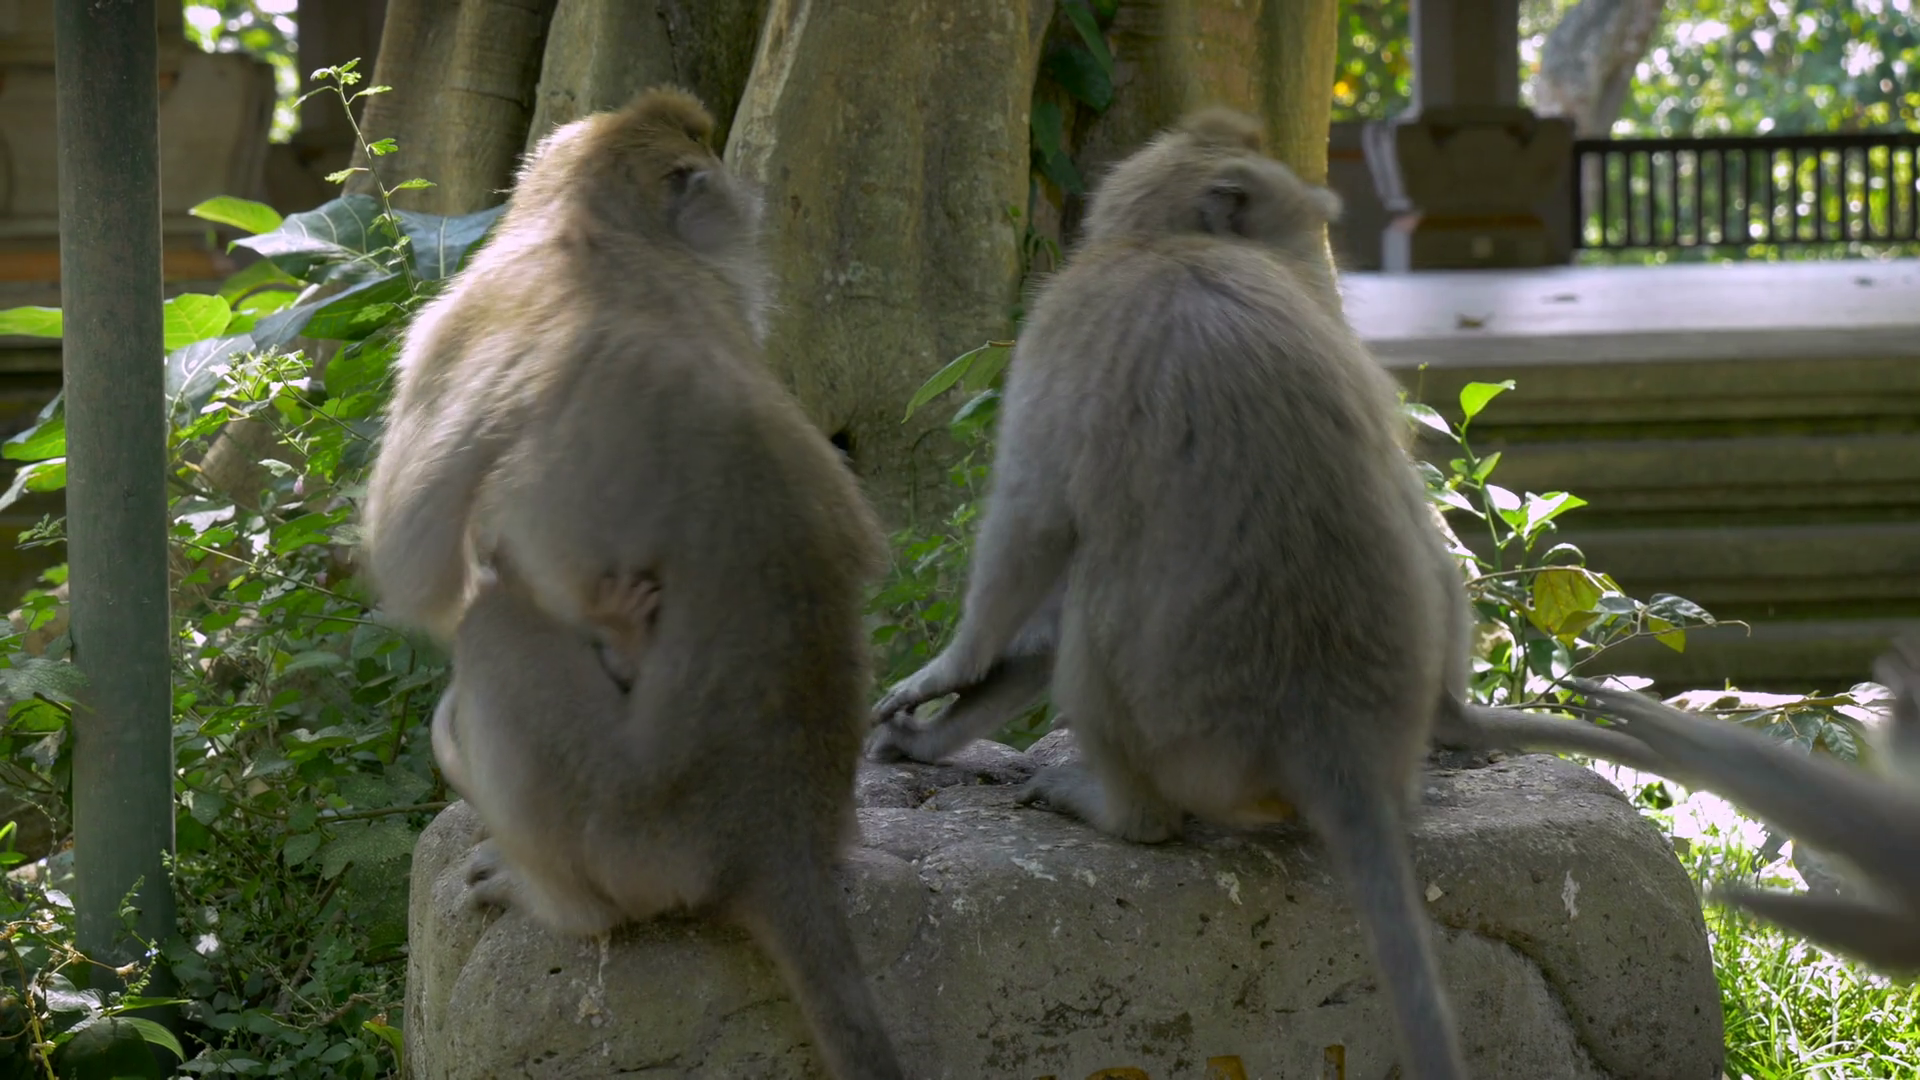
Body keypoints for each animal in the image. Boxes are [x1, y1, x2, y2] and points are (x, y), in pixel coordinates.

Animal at [362, 88, 903, 1080]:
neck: (595, 225)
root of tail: (776, 833)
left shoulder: (449, 322)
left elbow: (412, 559)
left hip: (618, 824)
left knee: (492, 628)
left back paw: (555, 901)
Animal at [872, 107, 1472, 1080]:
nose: (1325, 276)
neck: (1158, 241)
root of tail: (1331, 729)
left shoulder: (1055, 323)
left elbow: (1031, 518)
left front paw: (945, 675)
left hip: (1188, 739)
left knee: (1089, 596)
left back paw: (1124, 812)